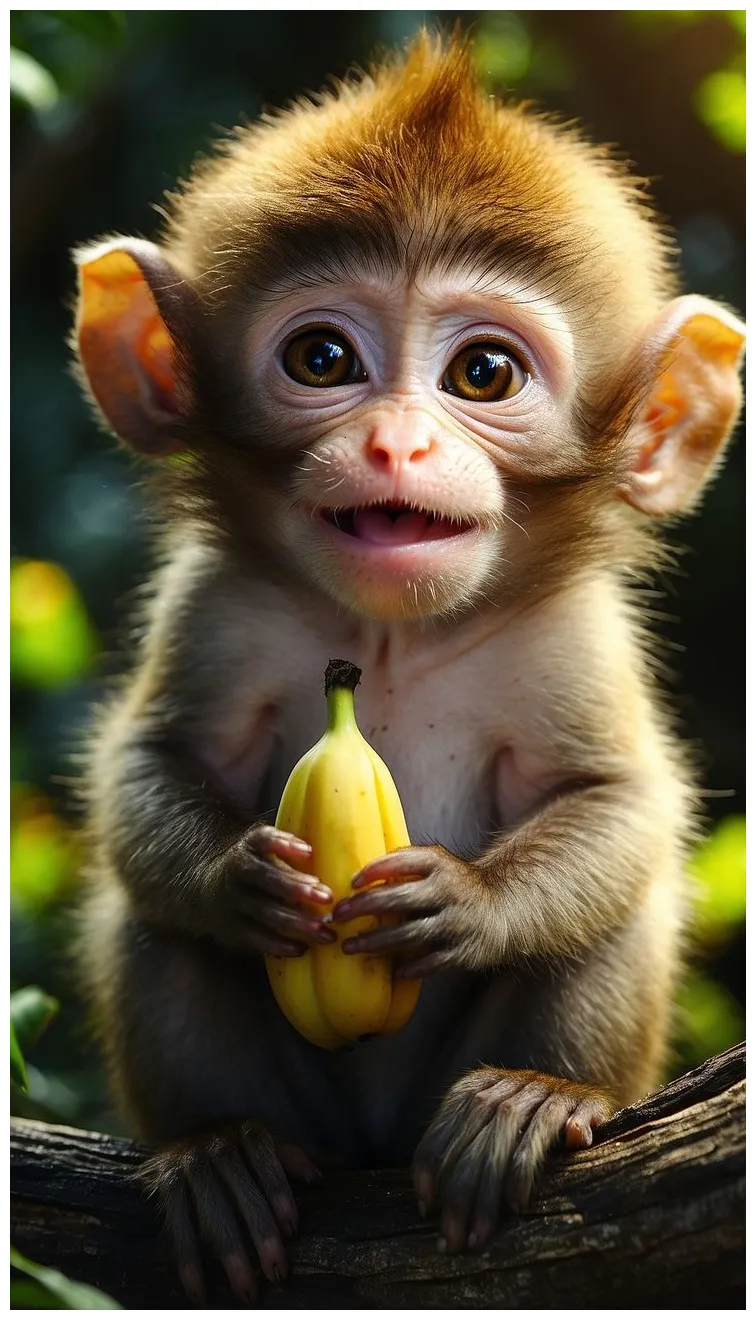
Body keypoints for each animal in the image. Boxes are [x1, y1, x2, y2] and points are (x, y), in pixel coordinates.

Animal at [71, 34, 744, 1306]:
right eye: (323, 357)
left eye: (483, 375)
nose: (396, 444)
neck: (391, 639)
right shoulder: (218, 602)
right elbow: (148, 765)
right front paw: (241, 879)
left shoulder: (571, 634)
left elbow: (623, 803)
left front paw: (463, 902)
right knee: (155, 922)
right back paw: (220, 1151)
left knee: (612, 916)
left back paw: (531, 1099)